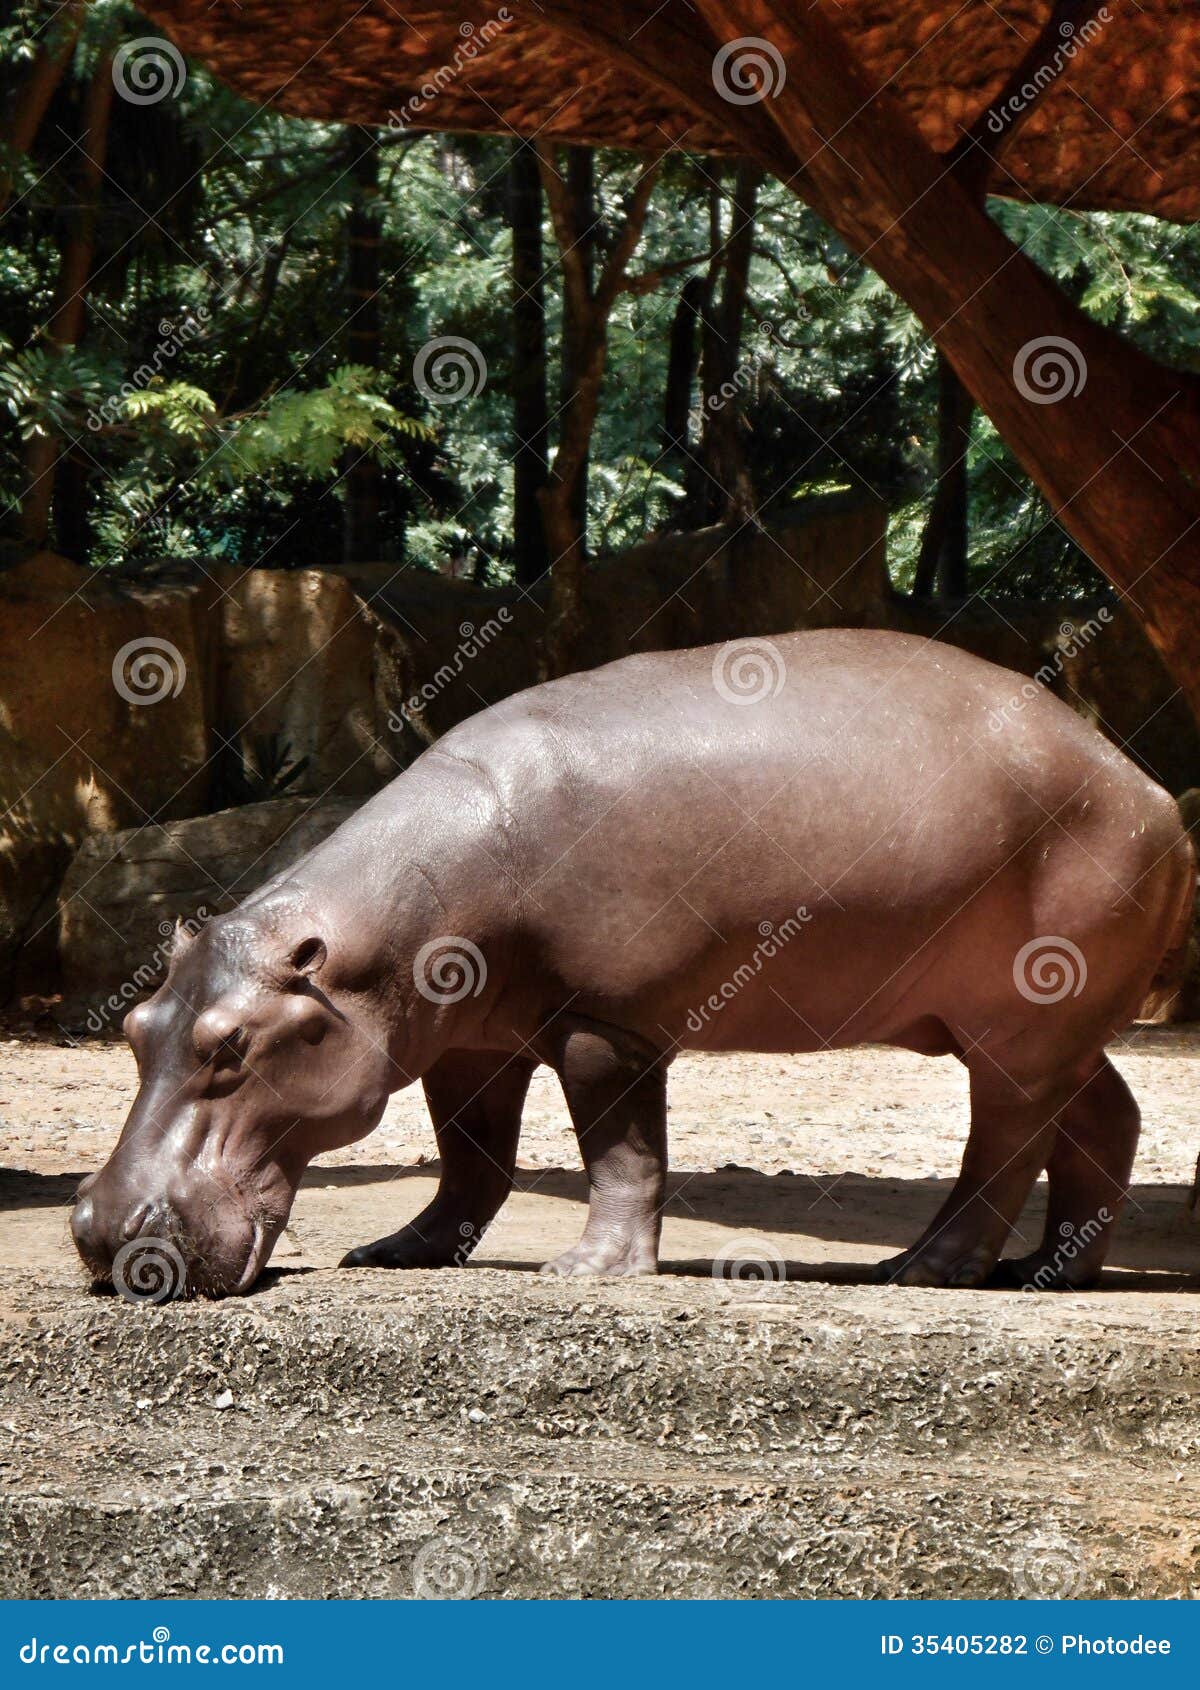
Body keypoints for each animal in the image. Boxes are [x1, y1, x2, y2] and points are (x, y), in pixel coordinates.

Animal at [71, 628, 1194, 1298]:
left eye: (231, 1047)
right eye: (133, 1028)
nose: (97, 1228)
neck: (376, 942)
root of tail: (1146, 784)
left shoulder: (602, 1024)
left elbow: (620, 1152)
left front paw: (589, 1270)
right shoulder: (469, 1043)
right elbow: (471, 1158)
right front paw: (395, 1251)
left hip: (1012, 1027)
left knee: (1003, 1142)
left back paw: (922, 1268)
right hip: (1040, 1023)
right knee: (1104, 1116)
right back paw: (1052, 1272)